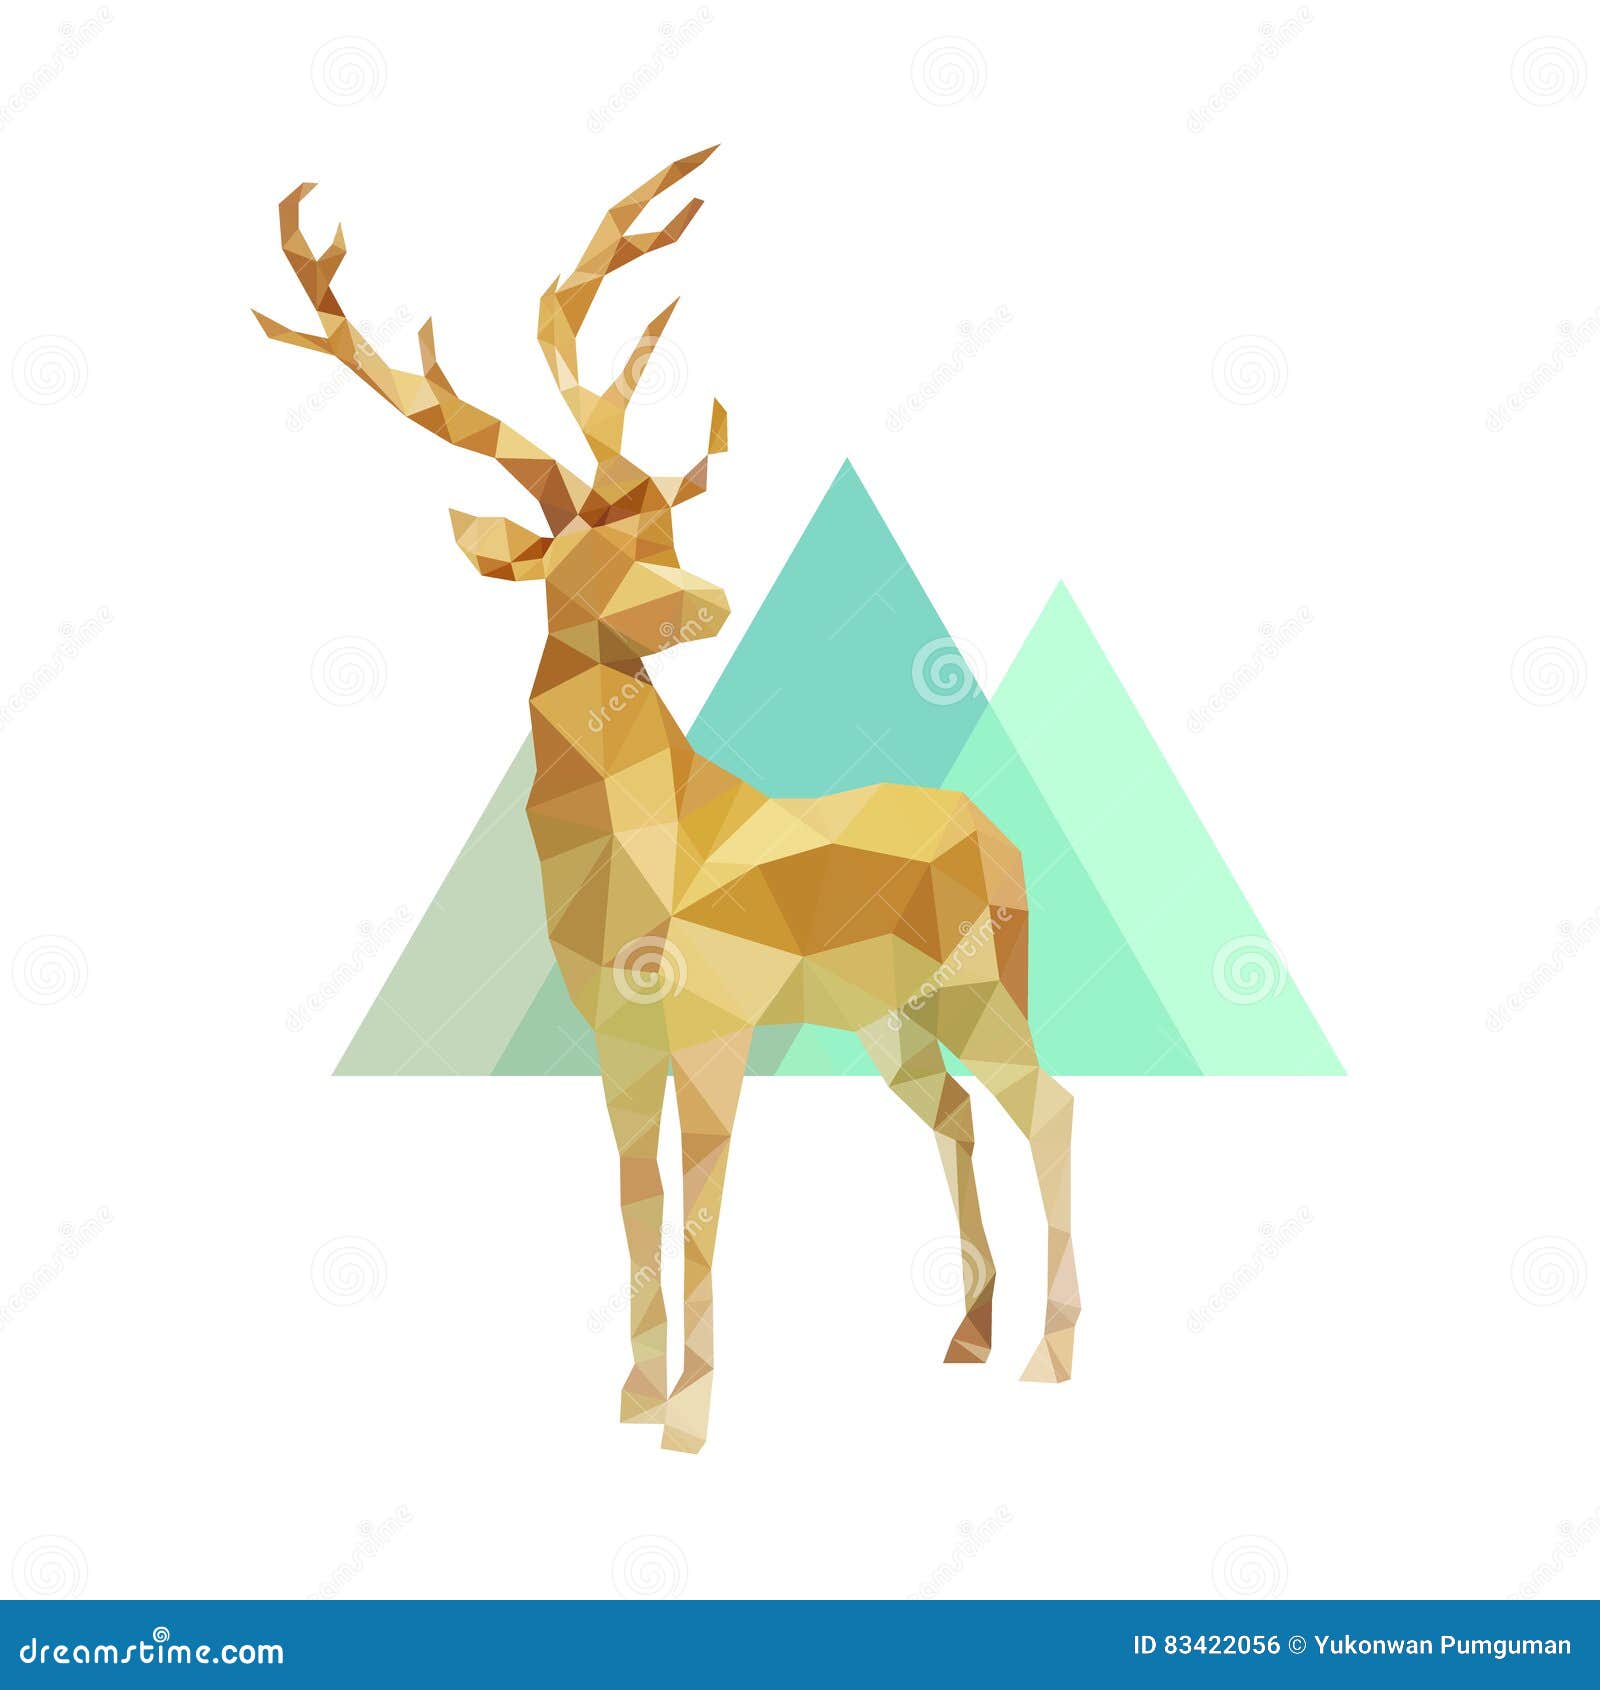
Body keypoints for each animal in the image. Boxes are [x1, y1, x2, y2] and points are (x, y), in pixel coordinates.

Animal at [256, 148, 1079, 1452]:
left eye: (665, 523)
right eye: (582, 551)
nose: (710, 598)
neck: (652, 847)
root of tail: (996, 834)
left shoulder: (714, 1029)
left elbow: (700, 1204)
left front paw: (690, 1417)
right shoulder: (620, 1046)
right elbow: (638, 1199)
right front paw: (634, 1396)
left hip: (983, 986)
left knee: (1050, 1105)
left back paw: (1049, 1356)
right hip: (888, 1021)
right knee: (953, 1112)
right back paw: (963, 1339)